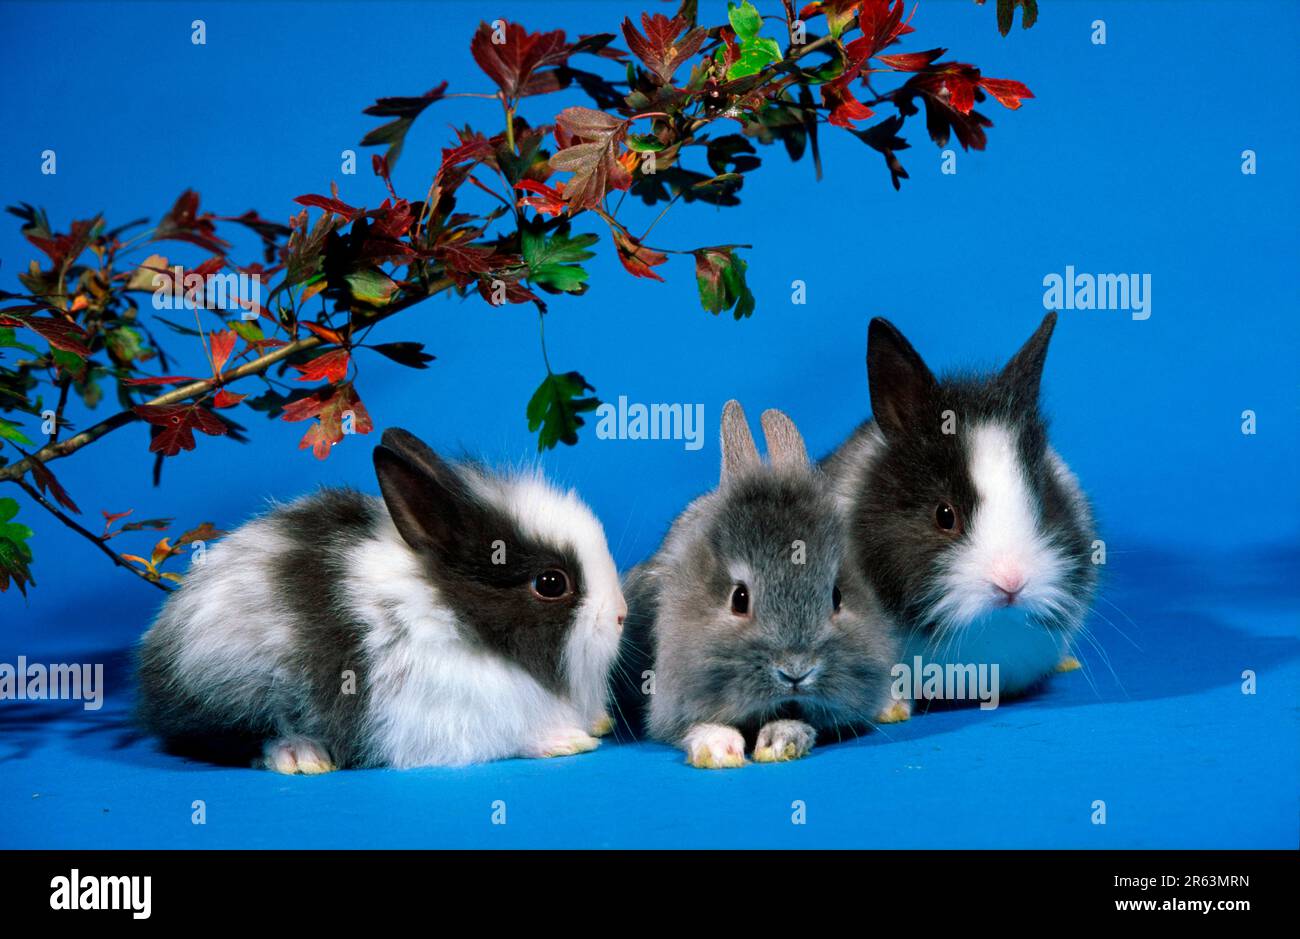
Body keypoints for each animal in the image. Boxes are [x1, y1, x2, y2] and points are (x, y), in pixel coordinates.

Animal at [136, 427, 627, 773]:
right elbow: (511, 736)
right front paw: (566, 739)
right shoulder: (450, 715)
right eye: (551, 583)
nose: (621, 615)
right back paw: (301, 755)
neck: (450, 610)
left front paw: (596, 721)